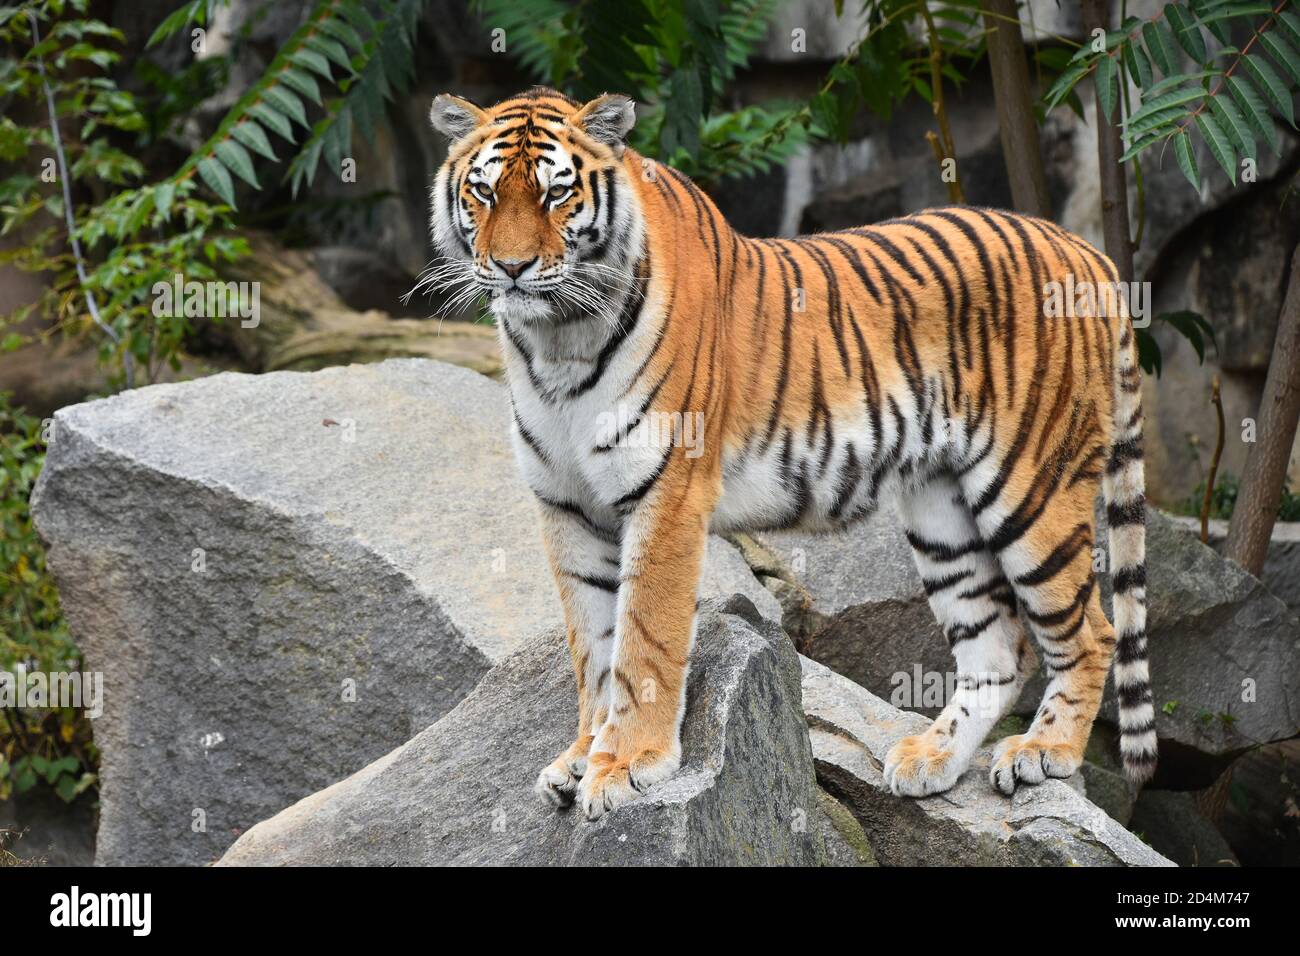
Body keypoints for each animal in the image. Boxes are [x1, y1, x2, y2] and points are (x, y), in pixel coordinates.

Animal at [424, 86, 1157, 821]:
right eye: (484, 192)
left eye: (557, 193)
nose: (513, 269)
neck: (555, 341)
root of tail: (1086, 250)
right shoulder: (566, 506)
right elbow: (592, 647)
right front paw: (582, 756)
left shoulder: (666, 496)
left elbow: (644, 640)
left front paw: (628, 763)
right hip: (941, 510)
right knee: (999, 647)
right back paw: (933, 759)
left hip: (1032, 489)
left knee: (1091, 633)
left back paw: (1043, 751)